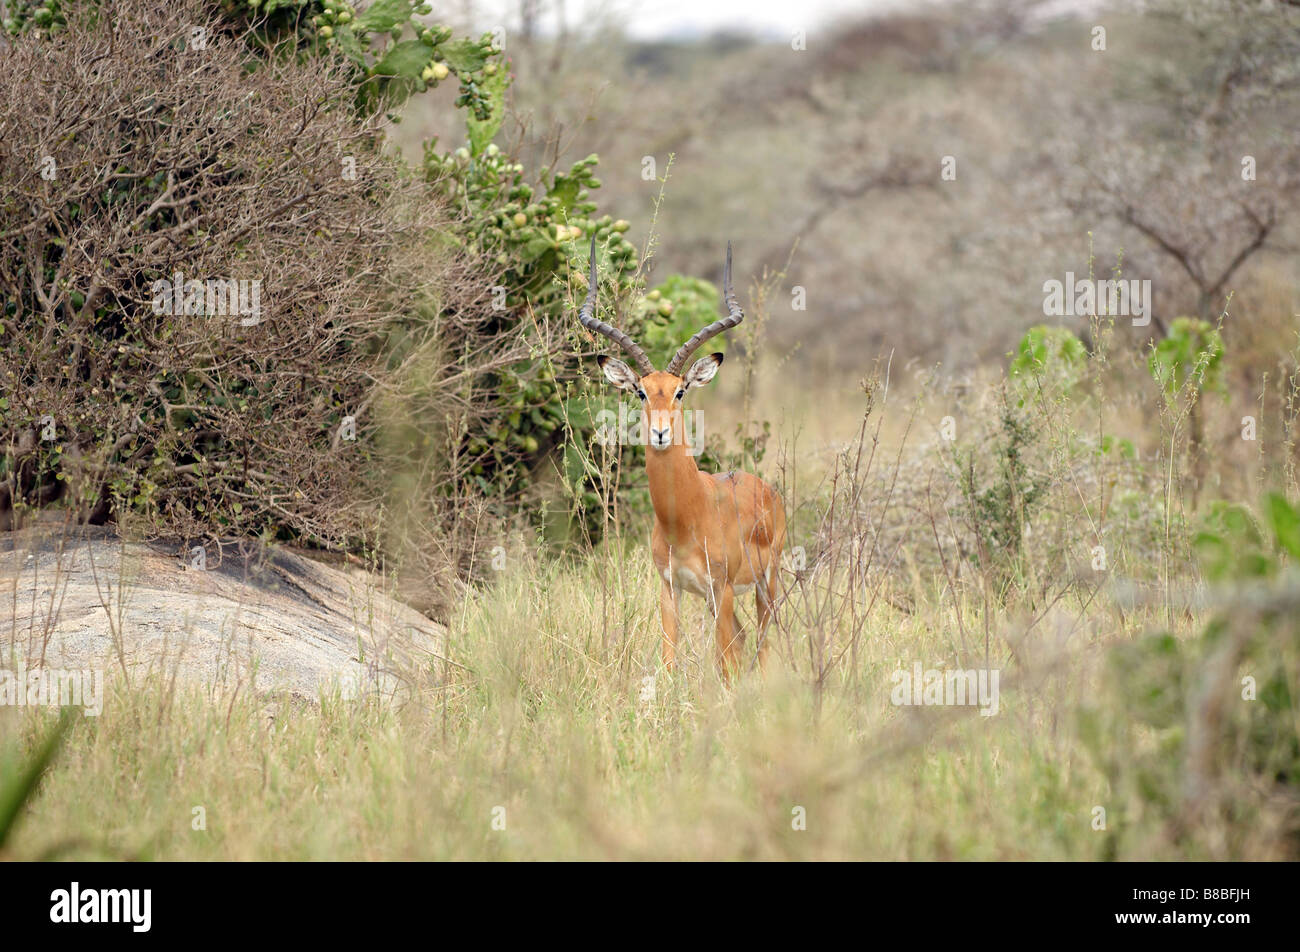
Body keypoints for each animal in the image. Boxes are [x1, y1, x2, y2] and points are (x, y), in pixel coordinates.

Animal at [577, 237, 786, 680]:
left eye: (680, 391)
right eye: (640, 391)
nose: (660, 432)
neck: (688, 514)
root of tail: (767, 490)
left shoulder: (722, 587)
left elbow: (725, 664)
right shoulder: (669, 588)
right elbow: (670, 661)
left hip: (765, 584)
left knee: (760, 644)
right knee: (744, 639)